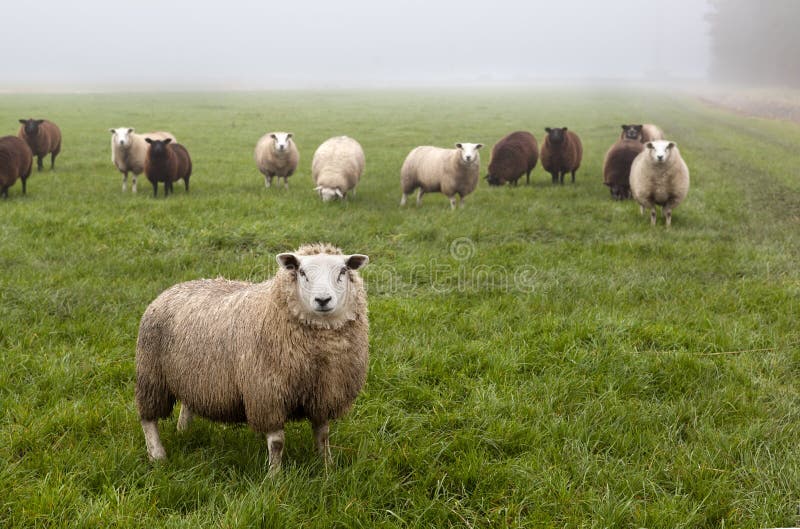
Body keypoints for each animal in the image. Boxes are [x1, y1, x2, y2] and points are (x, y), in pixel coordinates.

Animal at [135, 242, 370, 474]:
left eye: (343, 271)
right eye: (302, 272)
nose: (323, 300)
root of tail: (173, 288)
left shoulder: (324, 393)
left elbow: (323, 434)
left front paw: (327, 466)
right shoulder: (266, 393)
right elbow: (277, 442)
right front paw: (274, 476)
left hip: (193, 374)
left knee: (188, 402)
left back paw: (184, 430)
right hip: (151, 374)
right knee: (148, 419)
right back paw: (157, 455)